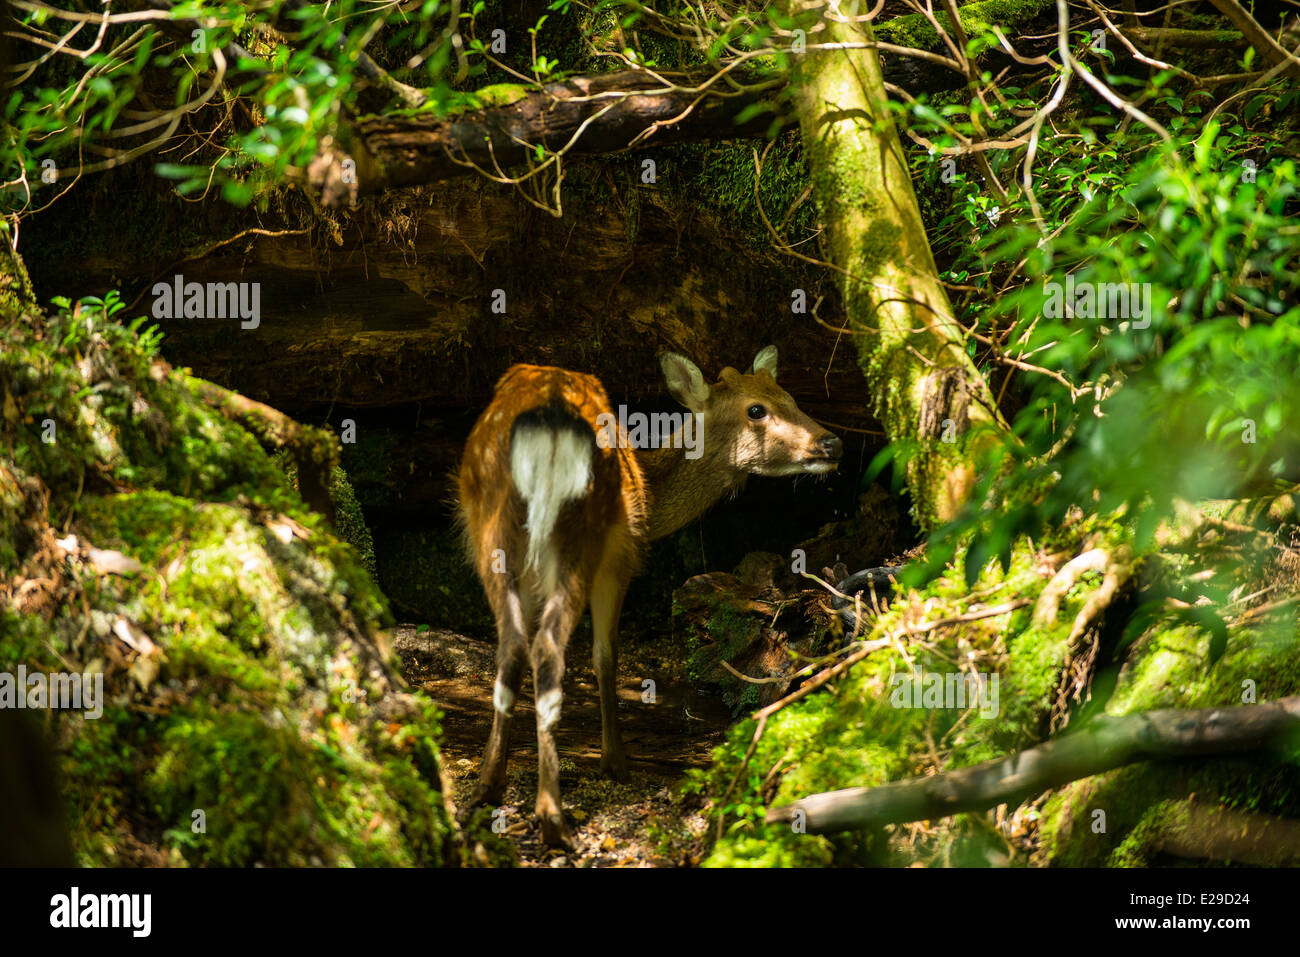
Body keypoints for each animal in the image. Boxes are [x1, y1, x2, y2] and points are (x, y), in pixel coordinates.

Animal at [456, 346, 842, 848]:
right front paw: (615, 763)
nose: (832, 443)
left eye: (791, 397)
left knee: (512, 647)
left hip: (493, 531)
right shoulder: (623, 554)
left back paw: (488, 787)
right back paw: (553, 816)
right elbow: (605, 655)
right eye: (756, 409)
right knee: (548, 649)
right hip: (584, 536)